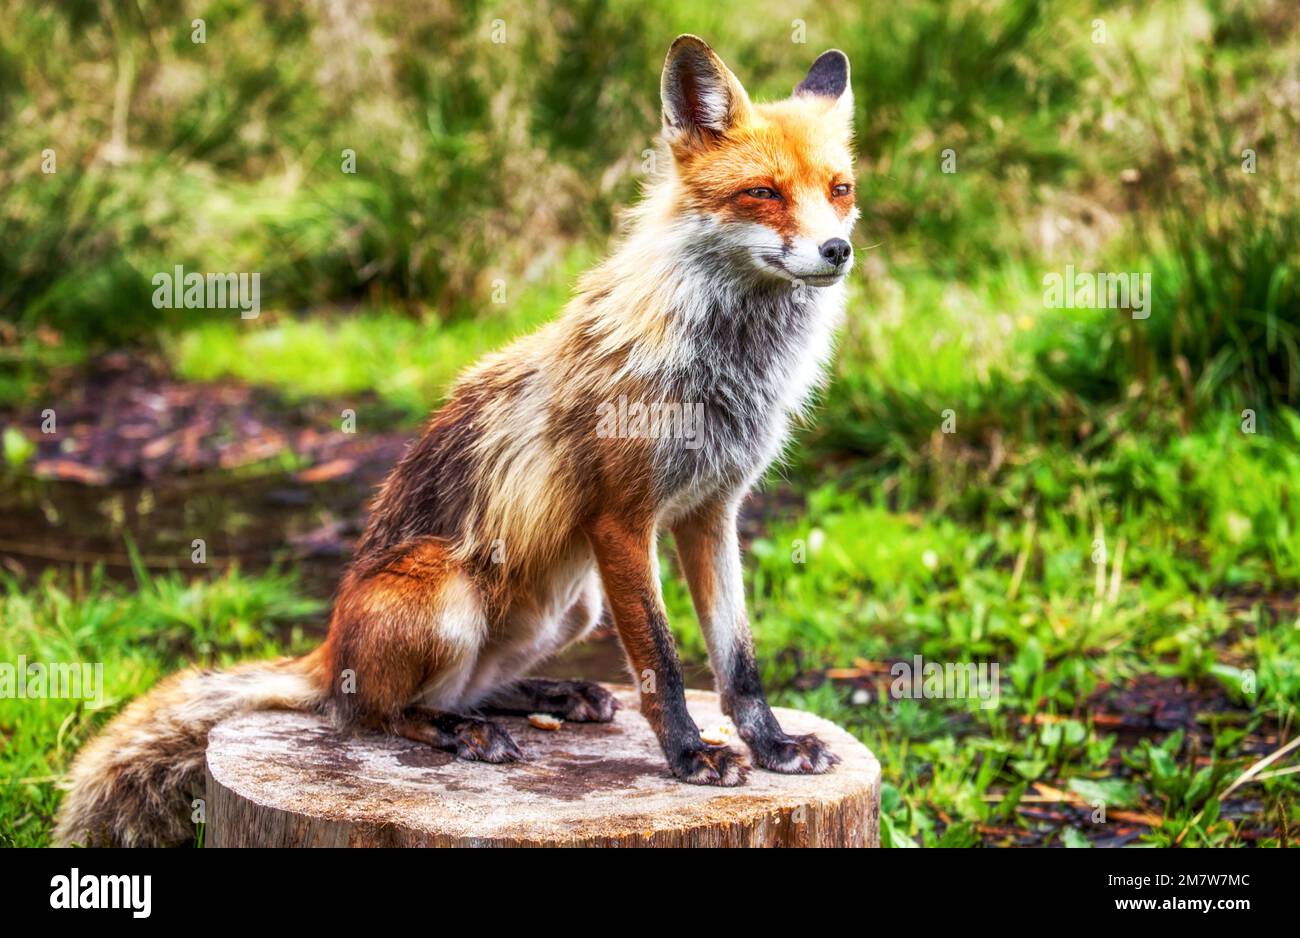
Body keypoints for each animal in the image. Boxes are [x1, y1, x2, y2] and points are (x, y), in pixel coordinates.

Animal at [54, 35, 859, 847]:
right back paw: (455, 731)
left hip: (573, 606)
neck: (725, 364)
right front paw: (691, 756)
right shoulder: (621, 519)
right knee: (375, 715)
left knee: (470, 688)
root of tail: (327, 653)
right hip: (451, 595)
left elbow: (738, 662)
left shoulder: (710, 513)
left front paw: (772, 744)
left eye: (840, 189)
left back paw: (548, 696)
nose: (837, 249)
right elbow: (661, 666)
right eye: (763, 192)